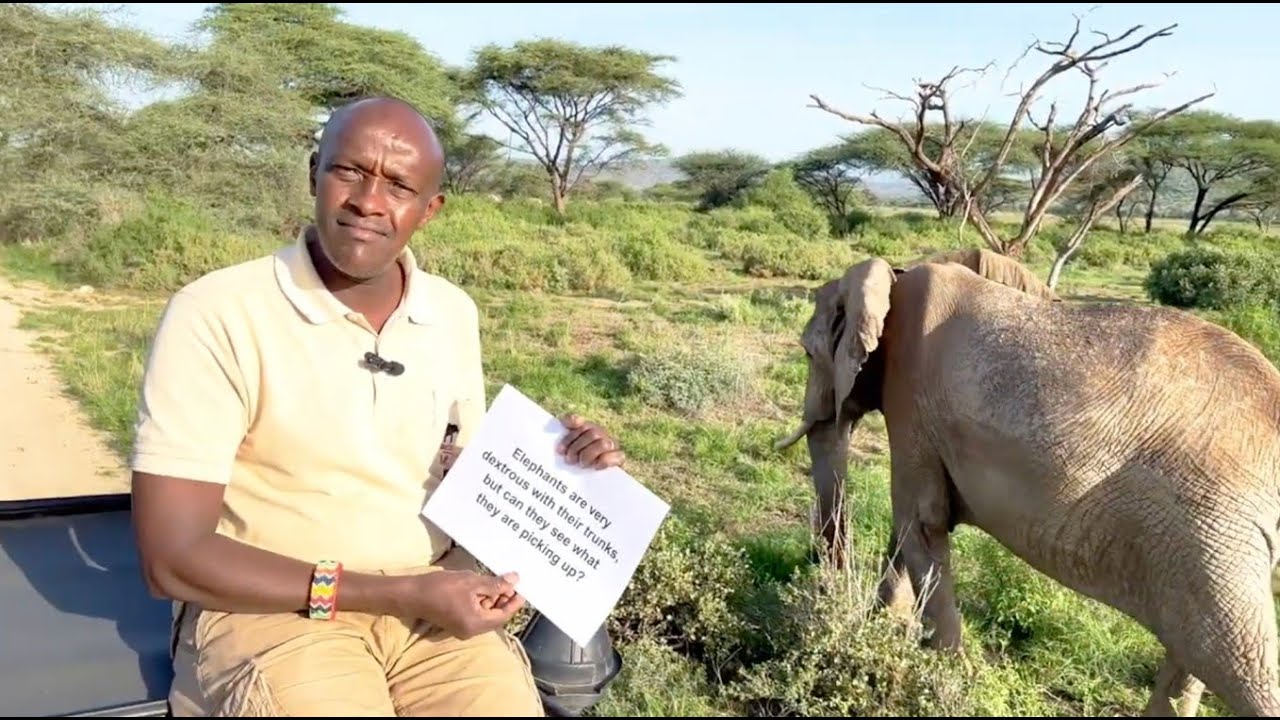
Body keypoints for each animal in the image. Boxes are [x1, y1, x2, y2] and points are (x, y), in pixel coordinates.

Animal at [775, 249, 1280, 716]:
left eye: (807, 353)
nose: (829, 588)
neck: (897, 274)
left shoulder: (911, 397)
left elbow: (920, 522)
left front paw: (948, 682)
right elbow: (913, 530)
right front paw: (886, 631)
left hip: (1211, 526)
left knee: (1234, 656)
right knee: (1193, 648)